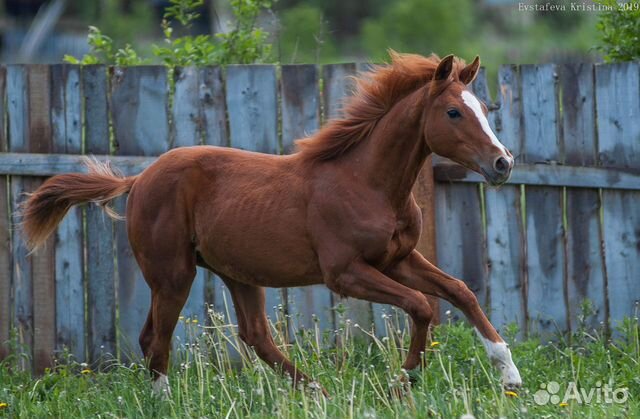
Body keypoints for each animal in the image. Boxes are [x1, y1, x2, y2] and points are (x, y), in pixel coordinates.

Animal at [21, 52, 521, 396]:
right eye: (454, 112)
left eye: (485, 109)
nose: (502, 163)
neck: (367, 182)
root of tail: (139, 178)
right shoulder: (345, 274)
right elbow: (420, 305)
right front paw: (405, 378)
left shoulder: (398, 259)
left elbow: (459, 291)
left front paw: (509, 373)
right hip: (172, 274)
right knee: (156, 339)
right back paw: (166, 402)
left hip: (238, 273)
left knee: (253, 335)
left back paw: (318, 390)